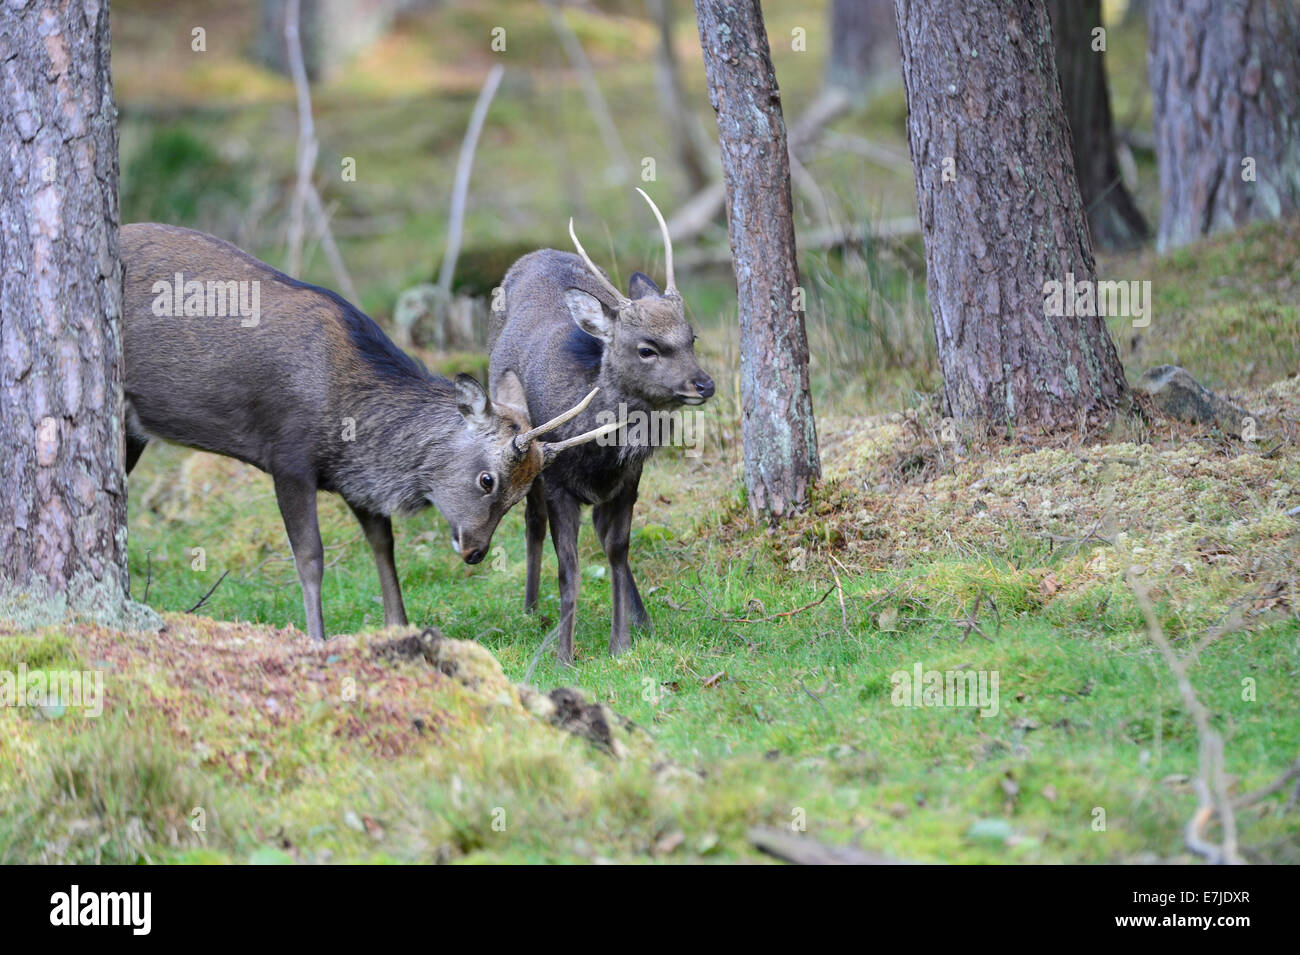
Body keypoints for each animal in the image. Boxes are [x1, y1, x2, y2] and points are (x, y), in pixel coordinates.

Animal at [121, 223, 615, 642]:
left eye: (520, 494)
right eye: (487, 479)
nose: (475, 551)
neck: (347, 418)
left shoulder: (355, 481)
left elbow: (384, 545)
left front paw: (400, 624)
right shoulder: (288, 457)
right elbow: (310, 556)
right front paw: (317, 636)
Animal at [488, 189, 715, 664]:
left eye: (692, 338)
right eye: (647, 348)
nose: (704, 384)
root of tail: (536, 252)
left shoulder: (629, 478)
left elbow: (616, 550)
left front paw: (622, 641)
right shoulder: (556, 479)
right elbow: (568, 569)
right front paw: (563, 656)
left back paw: (642, 618)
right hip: (523, 449)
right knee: (532, 520)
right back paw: (530, 608)